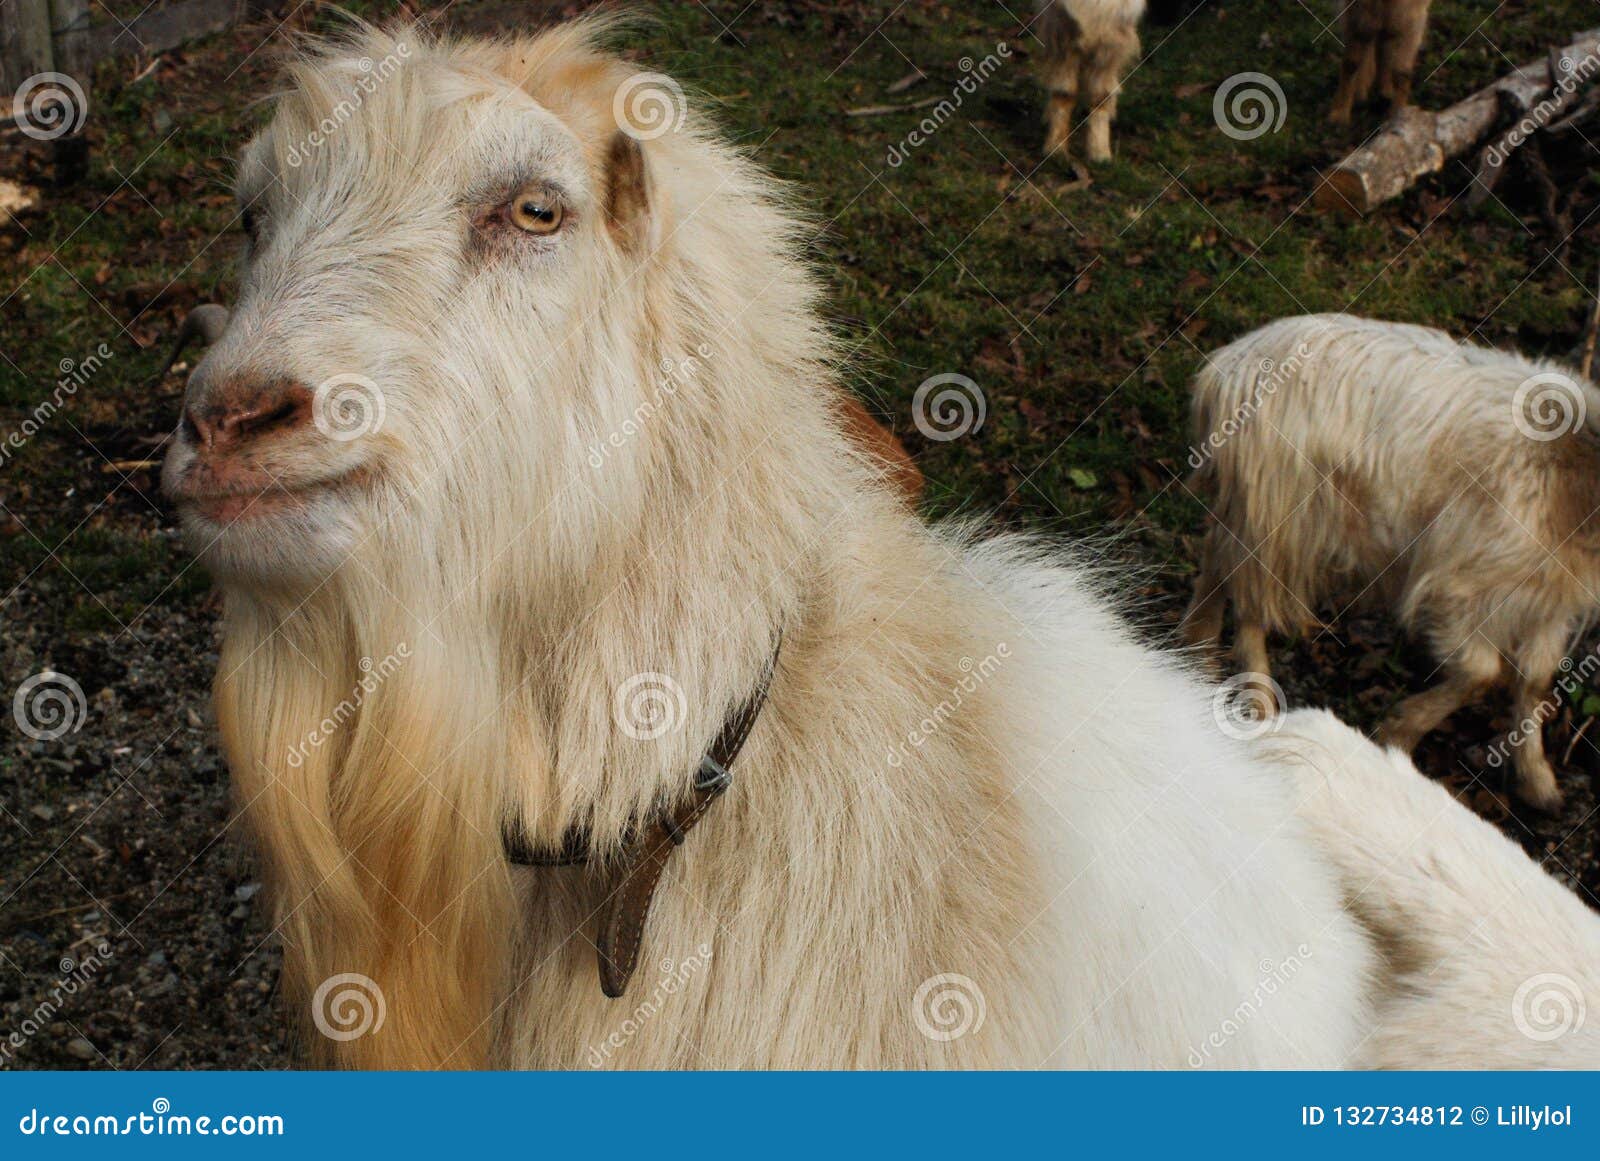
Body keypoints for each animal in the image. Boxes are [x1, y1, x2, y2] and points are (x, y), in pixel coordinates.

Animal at [1035, 0, 1145, 162]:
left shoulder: (1110, 37)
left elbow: (1100, 95)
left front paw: (1100, 154)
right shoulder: (1061, 31)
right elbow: (1064, 92)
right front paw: (1055, 149)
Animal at [1184, 313, 1600, 812]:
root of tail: (1225, 368)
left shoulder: (1550, 601)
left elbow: (1535, 681)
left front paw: (1538, 781)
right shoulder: (1458, 585)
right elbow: (1481, 673)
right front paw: (1399, 730)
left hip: (1250, 509)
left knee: (1217, 561)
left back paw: (1198, 652)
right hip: (1279, 513)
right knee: (1248, 602)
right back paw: (1257, 699)